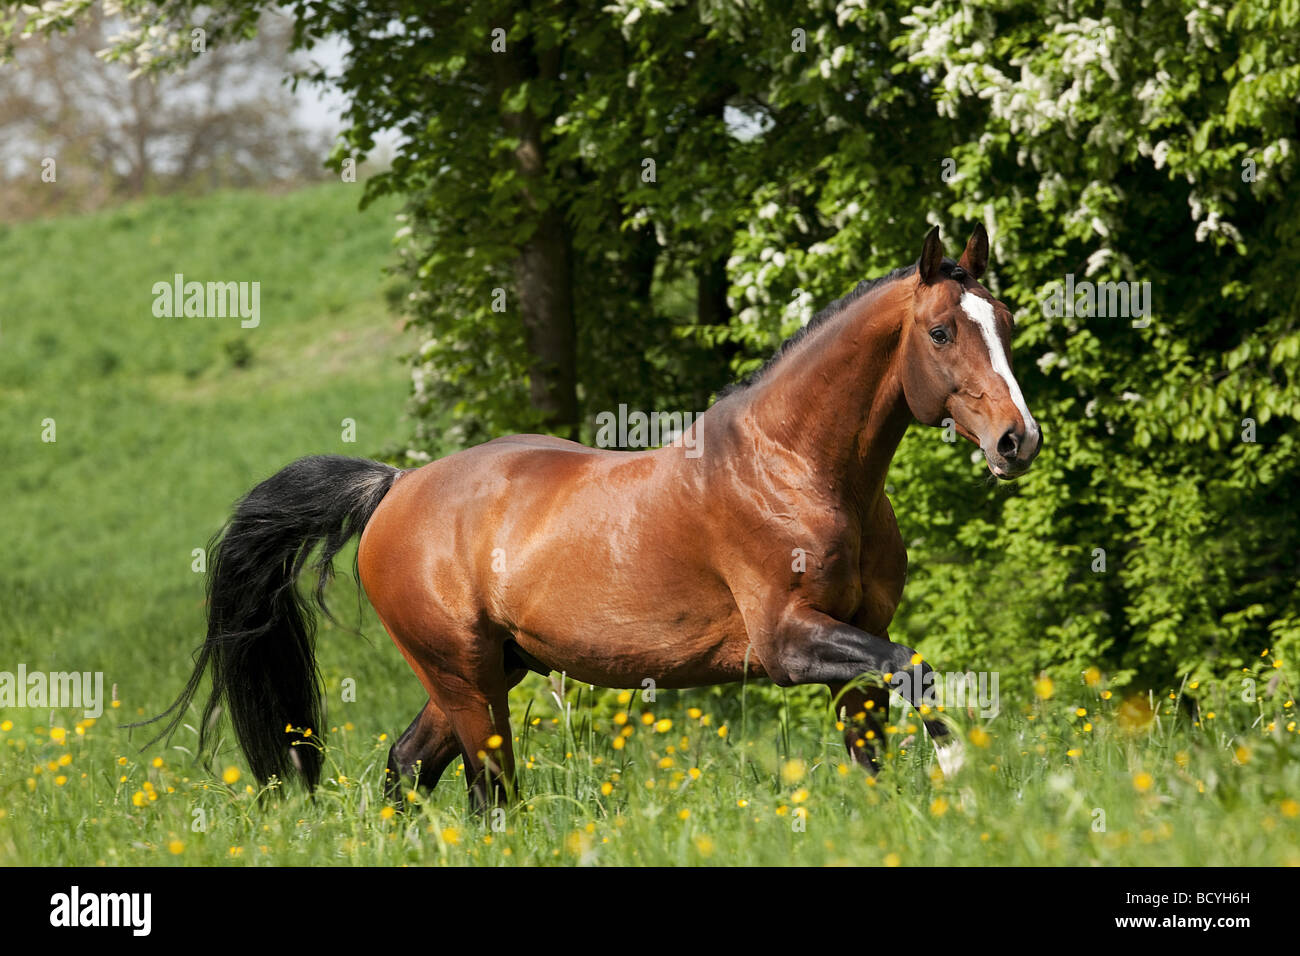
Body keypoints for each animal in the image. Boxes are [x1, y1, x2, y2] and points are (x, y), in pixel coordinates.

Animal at [140, 223, 1040, 808]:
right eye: (940, 331)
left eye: (1004, 324)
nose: (1017, 440)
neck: (794, 471)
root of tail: (395, 487)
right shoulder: (789, 643)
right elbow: (918, 670)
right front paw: (963, 784)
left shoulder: (856, 635)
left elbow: (878, 736)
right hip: (466, 679)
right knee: (487, 793)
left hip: (484, 671)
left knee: (406, 768)